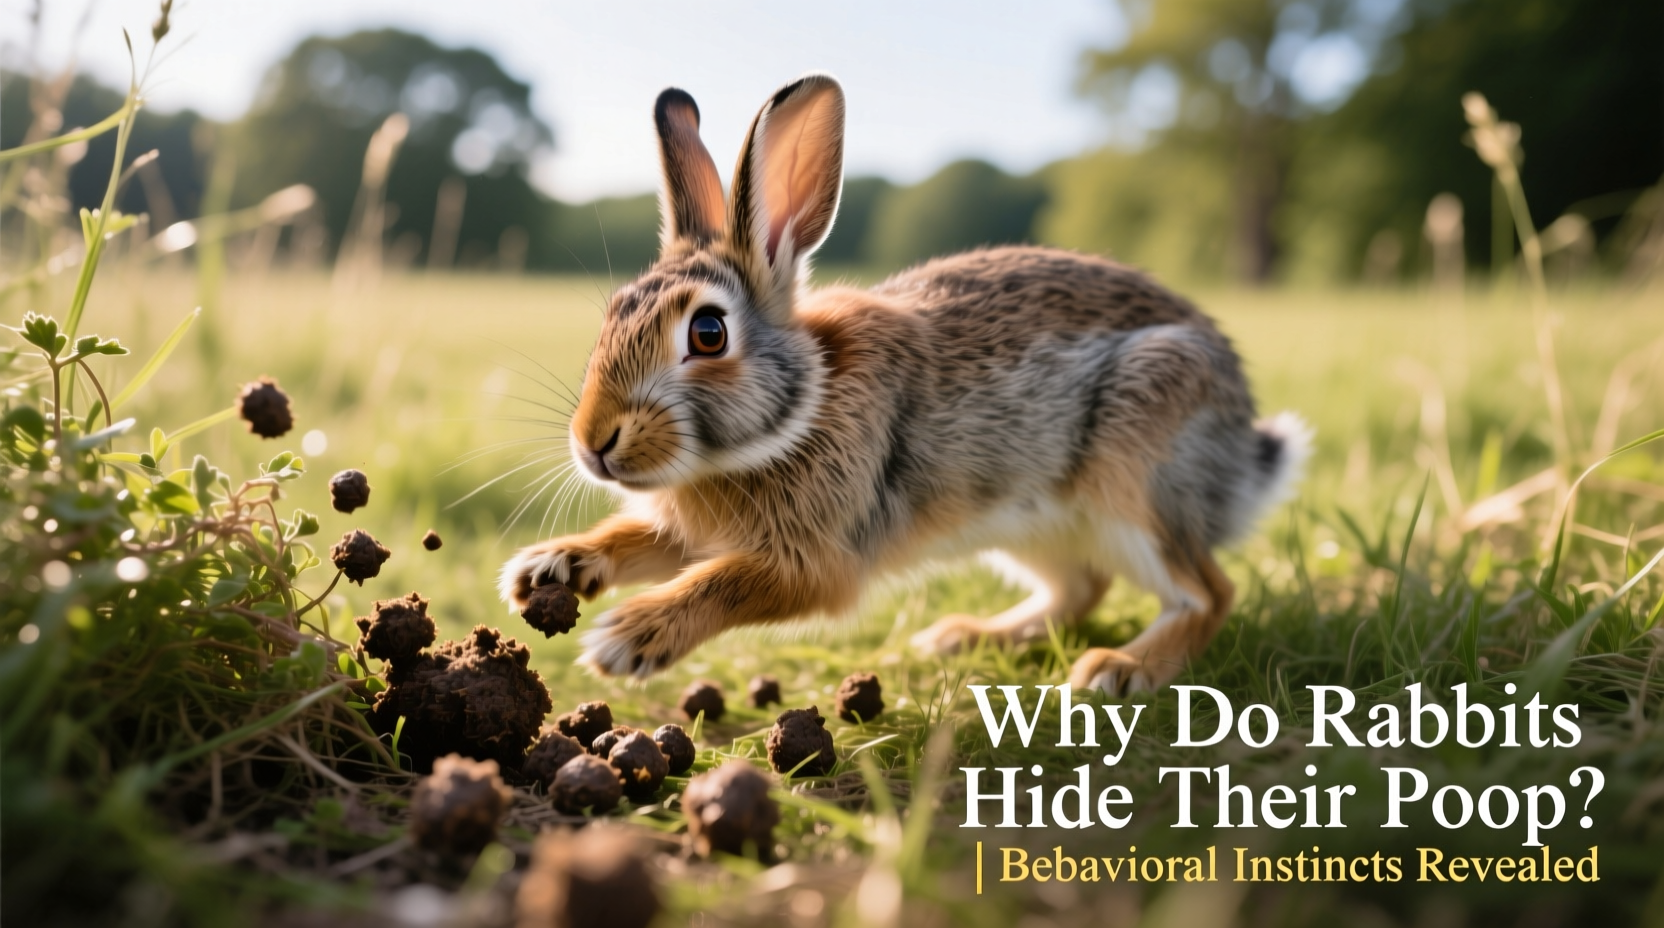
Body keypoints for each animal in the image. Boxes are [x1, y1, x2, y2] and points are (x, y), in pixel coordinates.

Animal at [499, 72, 1310, 694]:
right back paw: (961, 637)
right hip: (1024, 522)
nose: (593, 443)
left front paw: (630, 636)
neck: (799, 409)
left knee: (1208, 593)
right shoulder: (697, 530)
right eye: (612, 312)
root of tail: (1243, 451)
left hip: (1135, 478)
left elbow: (730, 582)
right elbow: (638, 538)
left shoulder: (818, 556)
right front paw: (549, 567)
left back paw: (1119, 669)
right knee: (1081, 588)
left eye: (708, 333)